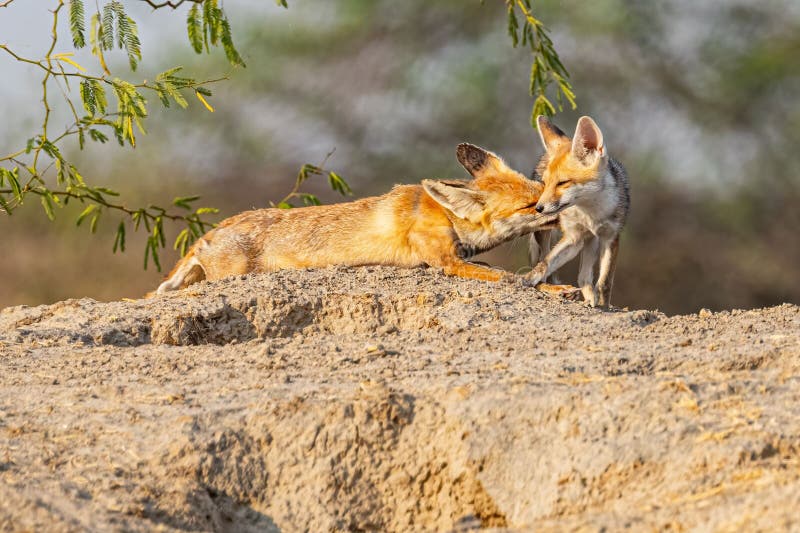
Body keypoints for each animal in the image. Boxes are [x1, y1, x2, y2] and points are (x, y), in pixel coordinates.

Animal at [150, 143, 578, 298]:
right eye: (532, 205)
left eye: (543, 189)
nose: (561, 210)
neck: (442, 213)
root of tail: (212, 231)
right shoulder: (445, 262)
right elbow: (511, 279)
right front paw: (552, 289)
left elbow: (513, 275)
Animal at [526, 115, 630, 307]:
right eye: (546, 183)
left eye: (562, 183)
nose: (538, 208)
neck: (591, 213)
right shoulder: (574, 237)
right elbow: (544, 265)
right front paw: (526, 280)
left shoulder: (610, 237)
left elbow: (604, 283)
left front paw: (604, 305)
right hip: (546, 234)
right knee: (545, 263)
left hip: (591, 241)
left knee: (584, 276)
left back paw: (588, 298)